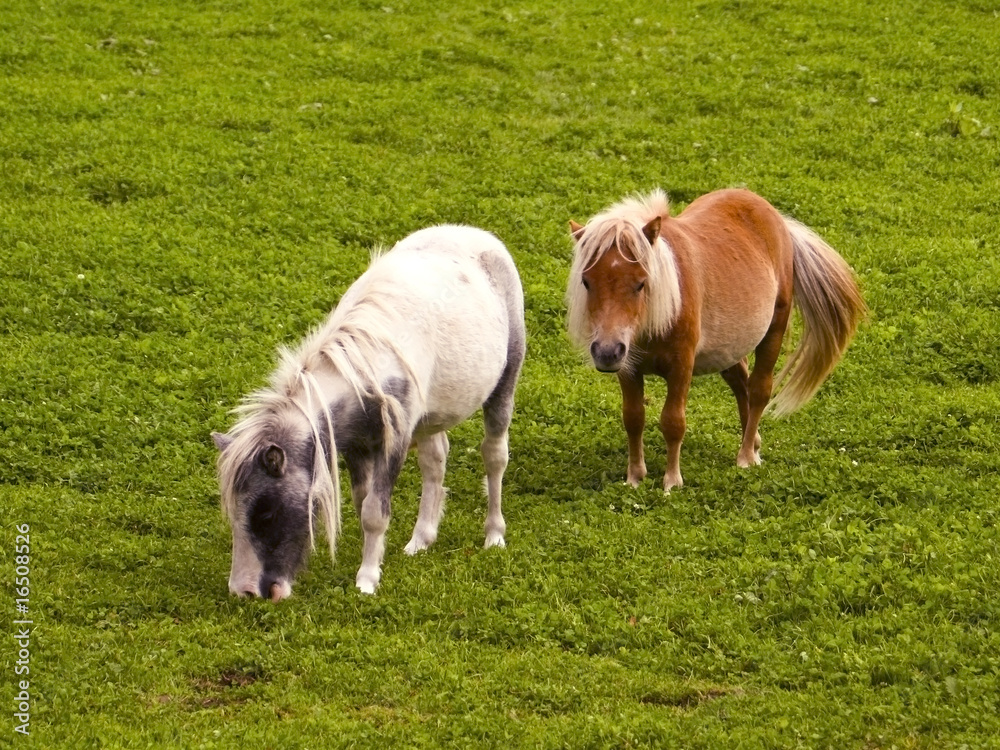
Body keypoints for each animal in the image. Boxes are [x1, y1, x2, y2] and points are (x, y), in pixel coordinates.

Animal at [212, 225, 525, 599]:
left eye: (266, 513)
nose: (244, 590)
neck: (363, 373)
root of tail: (479, 235)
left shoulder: (394, 444)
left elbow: (375, 512)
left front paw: (367, 579)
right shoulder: (357, 446)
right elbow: (364, 503)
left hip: (504, 386)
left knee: (494, 456)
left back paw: (494, 534)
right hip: (430, 420)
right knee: (435, 461)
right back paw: (421, 540)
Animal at [566, 188, 865, 492]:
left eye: (640, 283)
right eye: (586, 282)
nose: (607, 352)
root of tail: (774, 215)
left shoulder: (681, 367)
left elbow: (673, 422)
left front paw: (672, 481)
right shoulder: (628, 369)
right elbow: (633, 418)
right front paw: (635, 477)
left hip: (774, 331)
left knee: (759, 390)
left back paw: (746, 456)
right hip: (729, 350)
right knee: (742, 386)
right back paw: (754, 444)